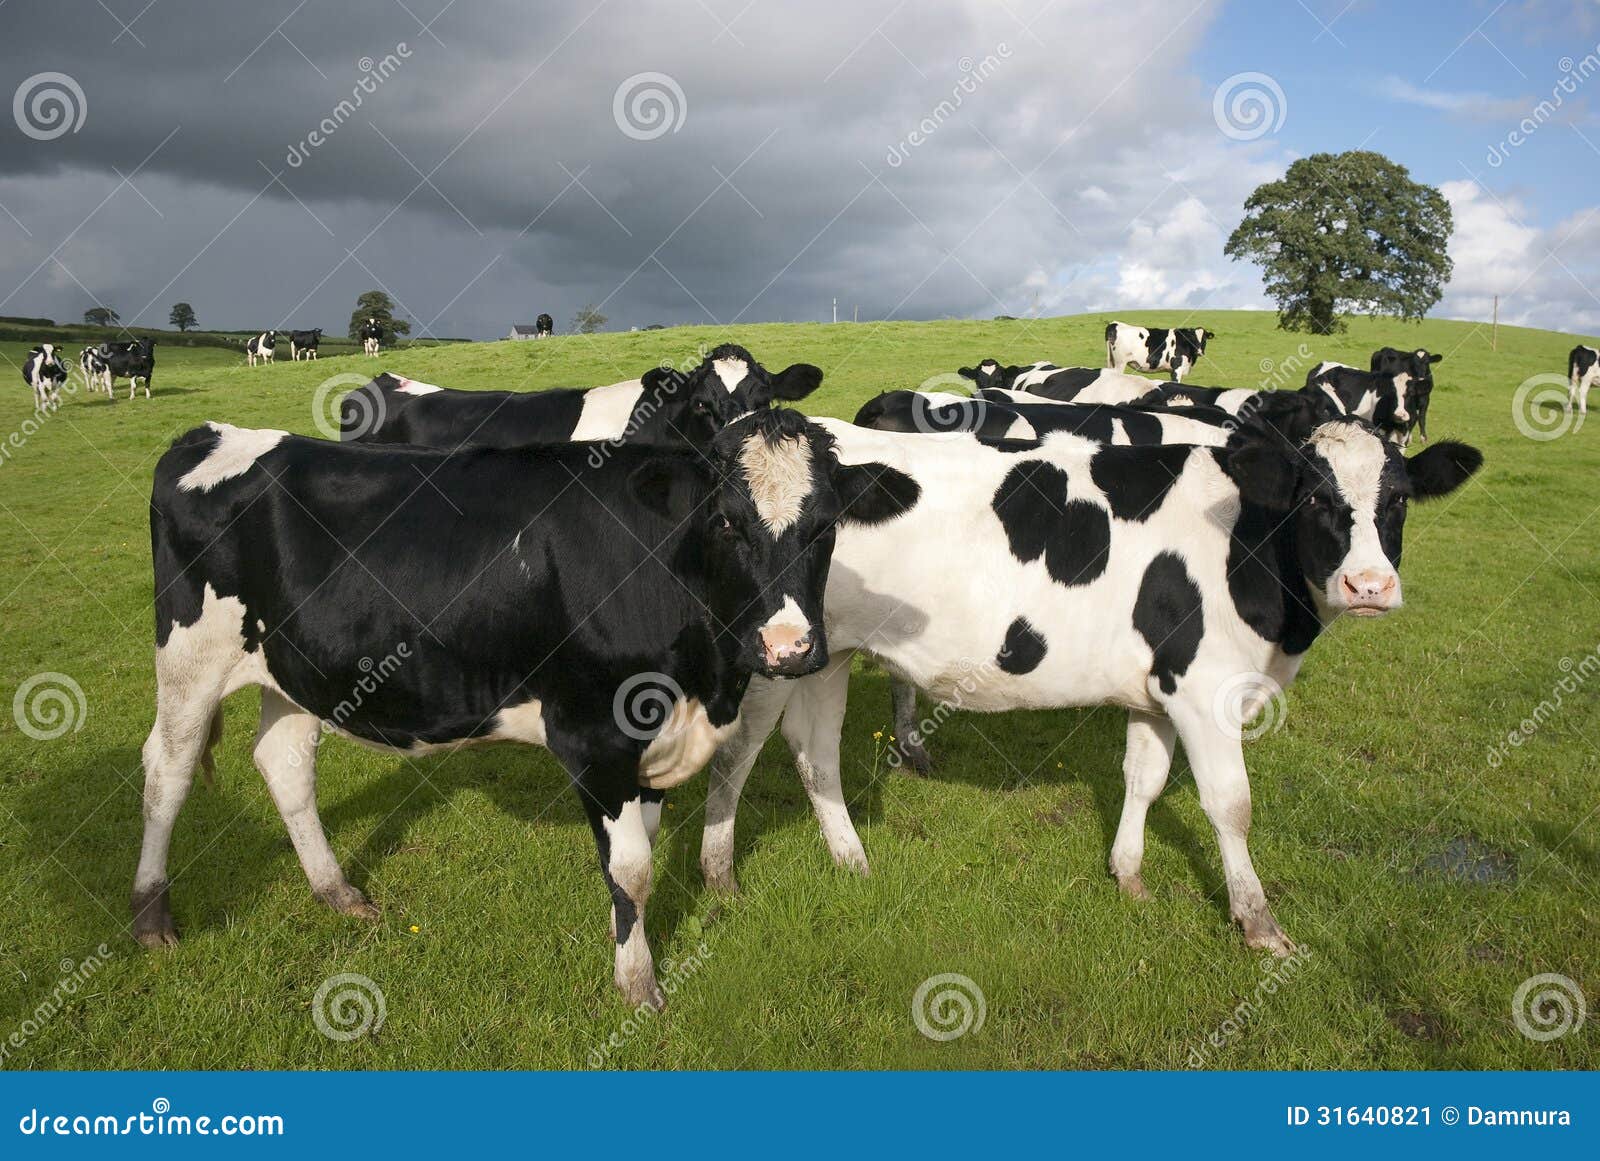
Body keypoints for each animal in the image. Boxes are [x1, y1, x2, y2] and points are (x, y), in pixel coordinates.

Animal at [132, 408, 918, 1009]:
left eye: (826, 527)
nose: (789, 647)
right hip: (190, 658)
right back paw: (151, 916)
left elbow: (641, 854)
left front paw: (629, 948)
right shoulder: (596, 736)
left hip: (294, 670)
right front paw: (639, 987)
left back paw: (337, 891)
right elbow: (632, 867)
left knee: (285, 764)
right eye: (726, 522)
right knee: (166, 771)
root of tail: (213, 433)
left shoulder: (653, 743)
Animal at [699, 414, 1481, 957]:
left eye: (1399, 499)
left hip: (824, 655)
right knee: (737, 754)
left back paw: (851, 859)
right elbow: (1231, 806)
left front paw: (1129, 876)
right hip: (772, 651)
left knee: (815, 753)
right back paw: (720, 875)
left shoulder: (1158, 688)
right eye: (1315, 497)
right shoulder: (1206, 688)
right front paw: (1260, 925)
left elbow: (1144, 779)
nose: (1369, 585)